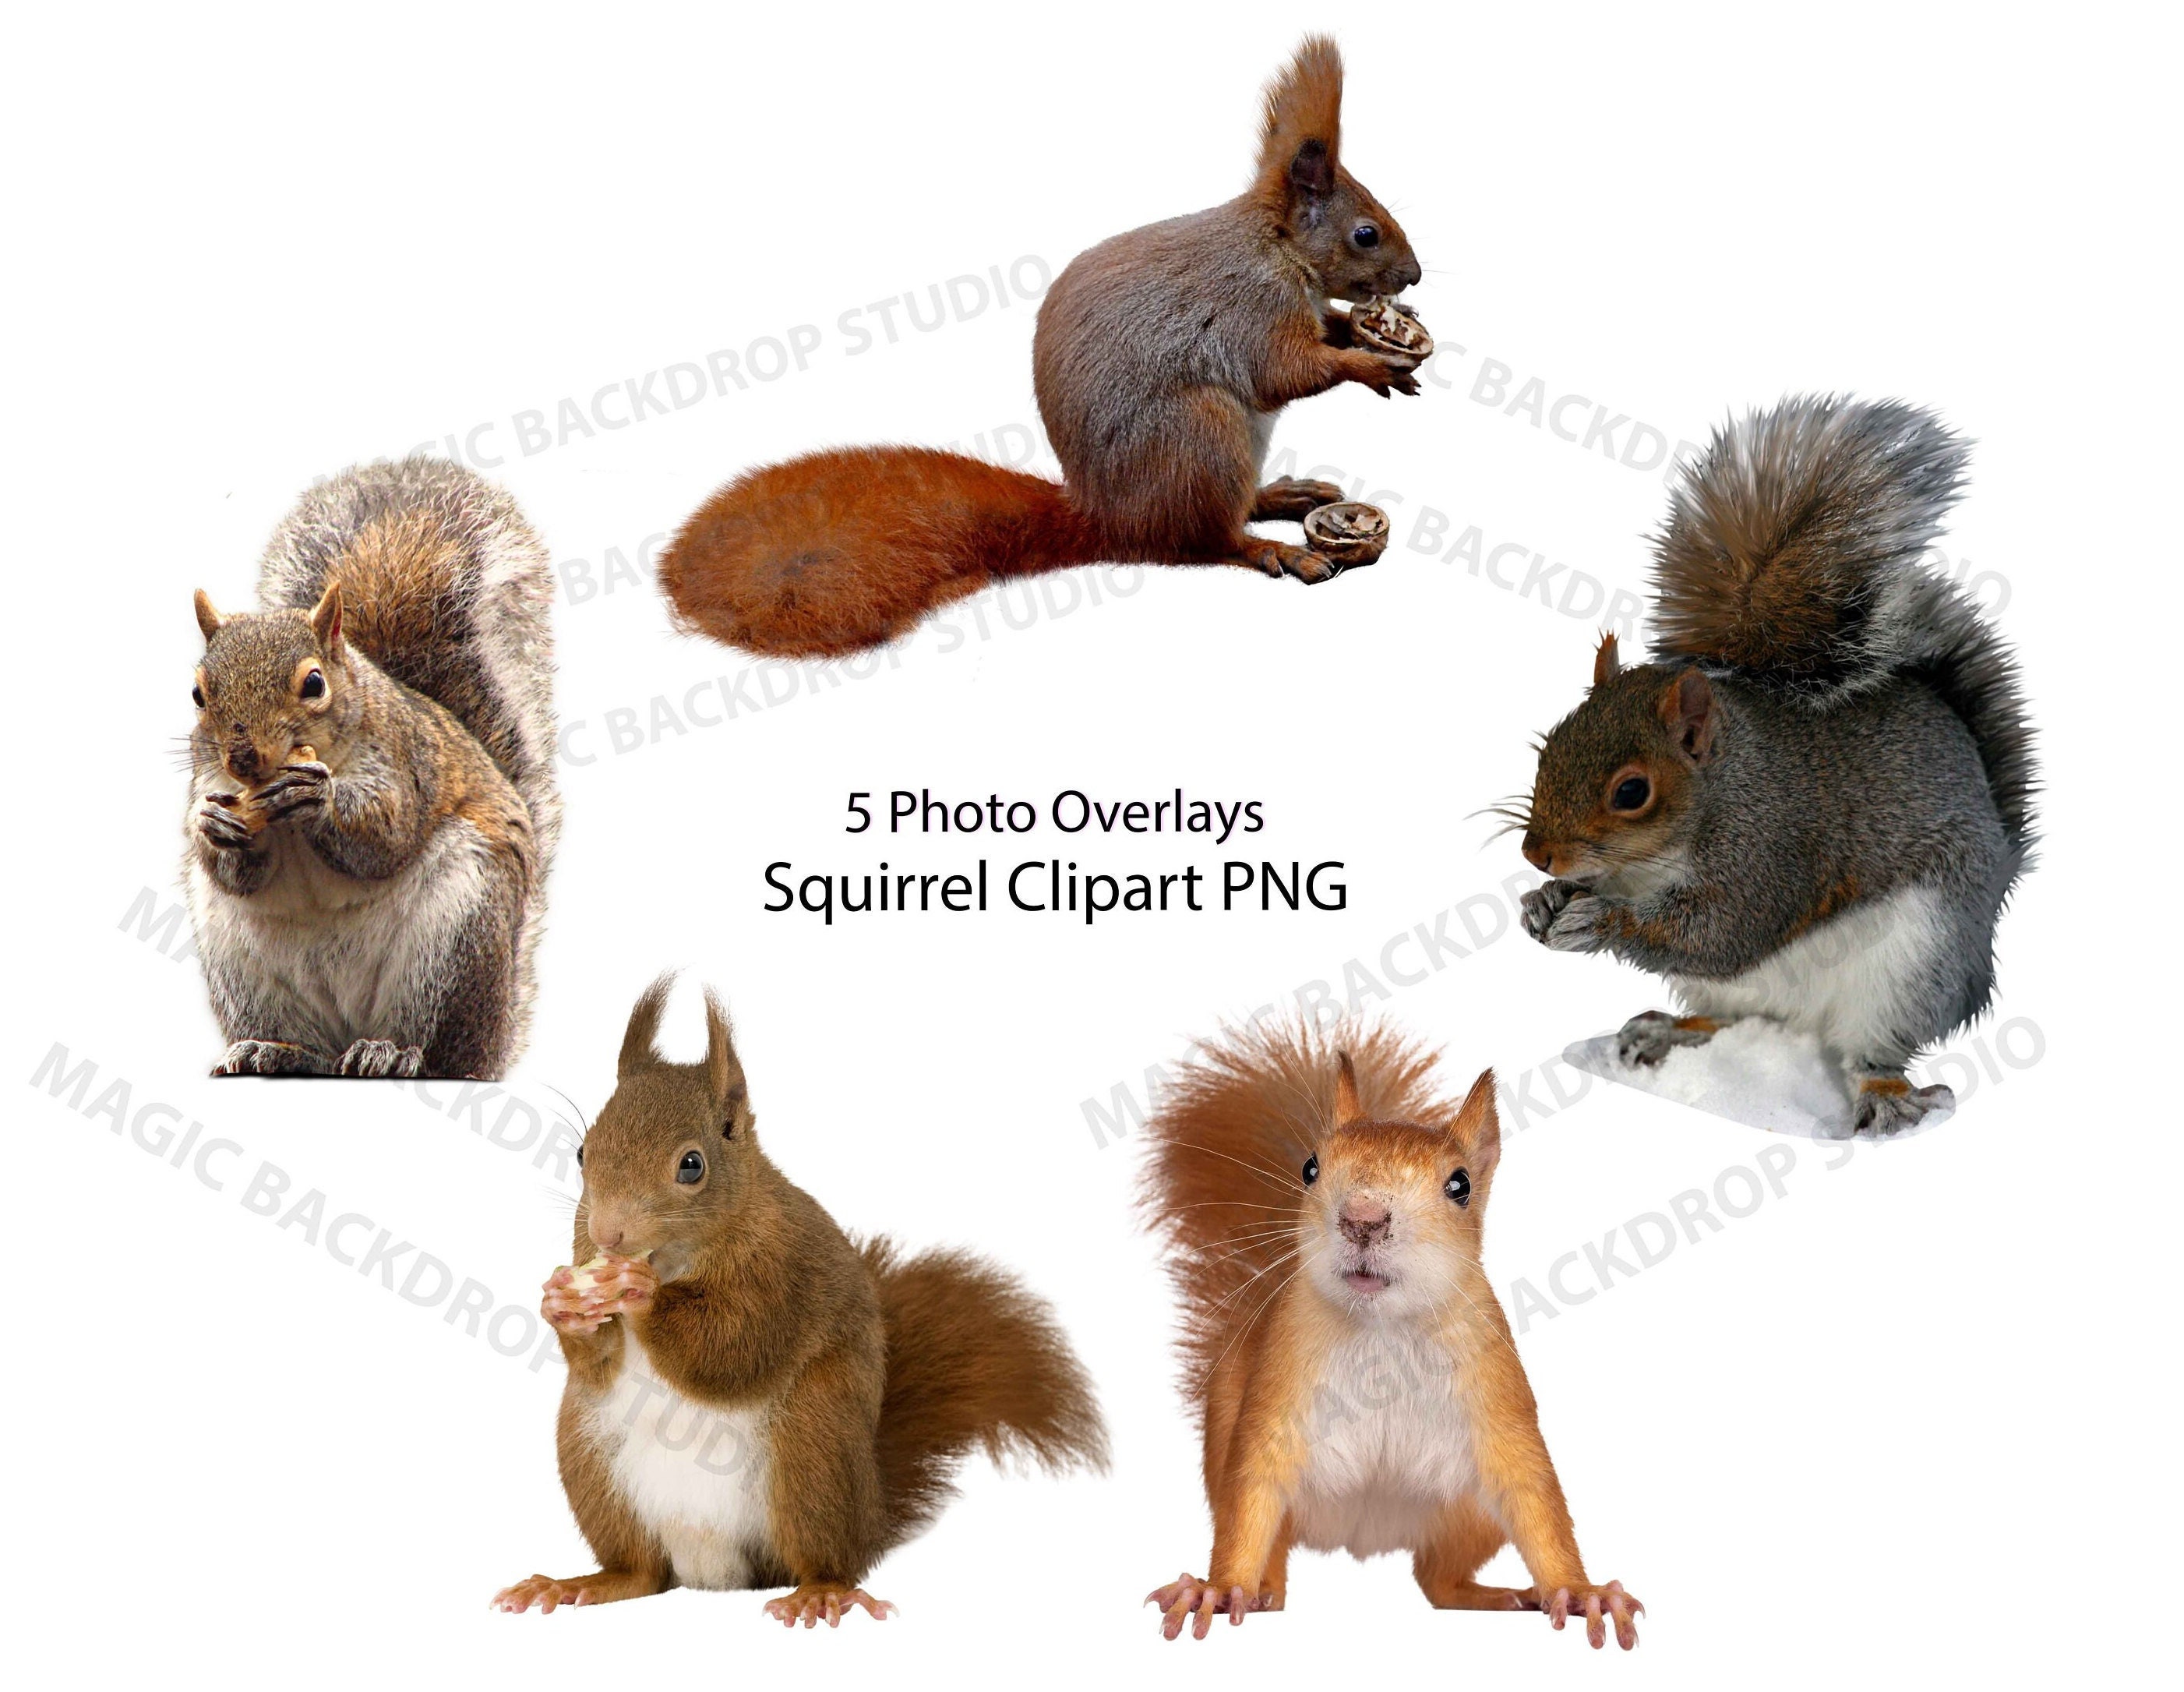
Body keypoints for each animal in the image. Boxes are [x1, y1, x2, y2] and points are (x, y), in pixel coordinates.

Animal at [184, 457, 559, 1080]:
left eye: (314, 683)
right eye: (197, 693)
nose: (242, 758)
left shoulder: (405, 761)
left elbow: (386, 836)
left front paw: (320, 800)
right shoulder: (207, 779)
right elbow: (233, 870)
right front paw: (215, 827)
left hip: (457, 937)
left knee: (438, 1051)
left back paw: (392, 1053)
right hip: (241, 966)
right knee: (310, 1050)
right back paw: (274, 1051)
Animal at [493, 977, 1108, 1626]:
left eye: (692, 1165)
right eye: (582, 1153)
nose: (608, 1235)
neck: (680, 1257)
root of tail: (712, 1568)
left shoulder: (781, 1273)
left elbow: (733, 1344)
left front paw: (641, 1294)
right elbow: (597, 1363)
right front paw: (561, 1302)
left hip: (813, 1448)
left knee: (822, 1556)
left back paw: (821, 1592)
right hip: (590, 1458)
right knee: (641, 1572)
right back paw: (574, 1584)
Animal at [657, 34, 1424, 659]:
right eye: (1365, 234)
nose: (1414, 275)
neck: (1277, 249)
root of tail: (1107, 520)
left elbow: (1319, 334)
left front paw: (1364, 329)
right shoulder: (1250, 309)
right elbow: (1284, 372)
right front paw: (1368, 363)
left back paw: (1279, 495)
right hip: (1201, 438)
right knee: (1208, 544)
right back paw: (1273, 549)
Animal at [1139, 1019, 1640, 1649]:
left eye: (1460, 1184)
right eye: (1310, 1167)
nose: (1362, 1217)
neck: (1381, 1327)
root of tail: (1366, 1533)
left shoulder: (1498, 1395)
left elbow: (1533, 1494)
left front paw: (1579, 1591)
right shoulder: (1276, 1396)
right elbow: (1253, 1489)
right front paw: (1219, 1588)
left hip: (1468, 1515)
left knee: (1438, 1579)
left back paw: (1497, 1595)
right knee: (1276, 1565)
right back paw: (1255, 1593)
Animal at [1510, 395, 2035, 1136]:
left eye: (1632, 791)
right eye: (1548, 746)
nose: (1536, 855)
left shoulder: (1772, 849)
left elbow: (1721, 931)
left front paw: (1596, 920)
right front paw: (1542, 903)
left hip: (1915, 962)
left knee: (1870, 1047)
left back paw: (1887, 1098)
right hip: (1740, 995)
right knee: (1729, 1012)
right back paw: (1669, 1031)